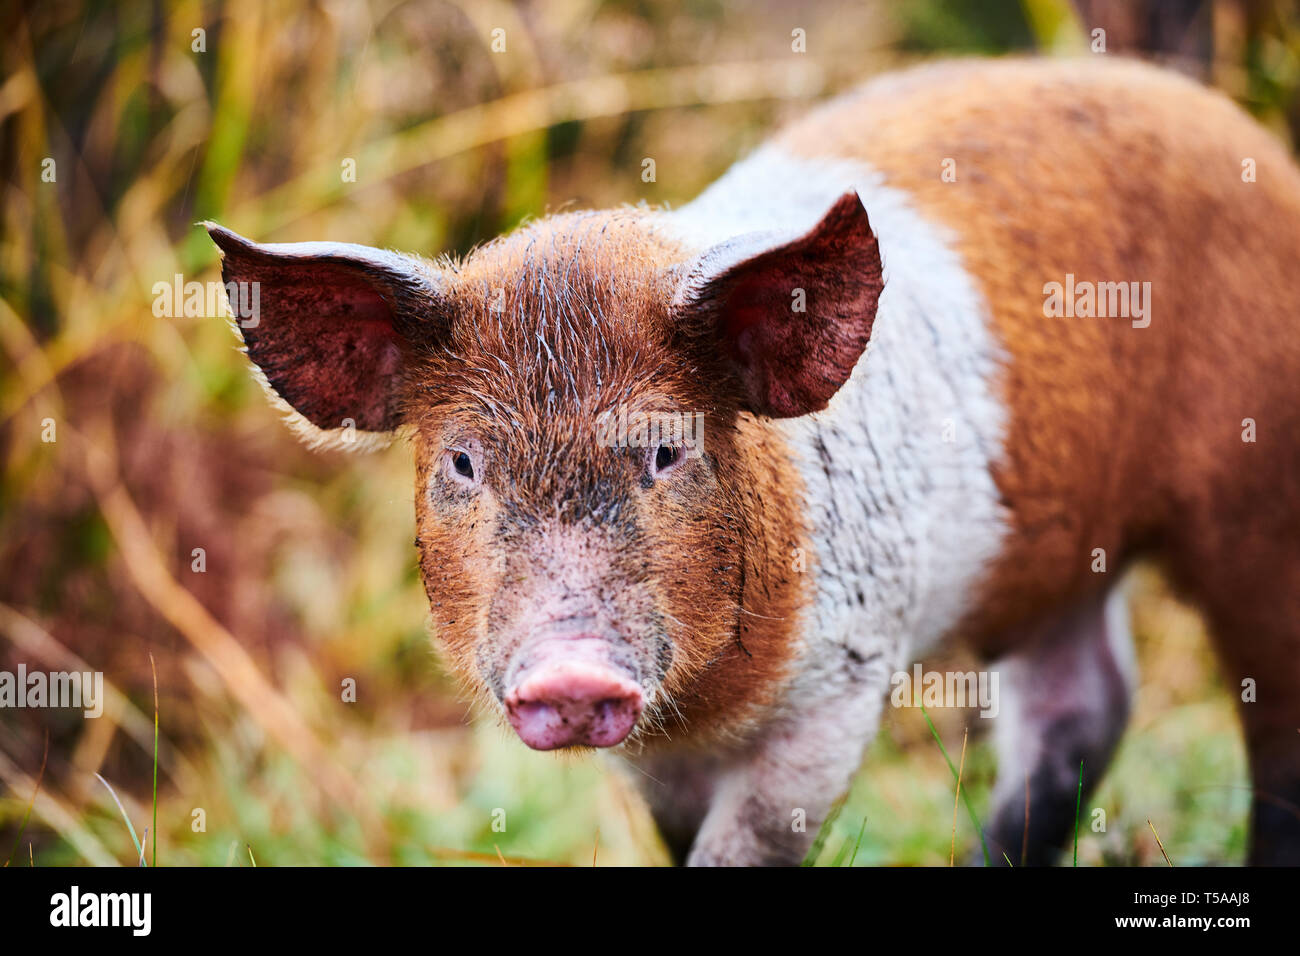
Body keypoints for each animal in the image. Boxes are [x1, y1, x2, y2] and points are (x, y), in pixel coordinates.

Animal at [208, 57, 1300, 866]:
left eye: (666, 449)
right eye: (465, 463)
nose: (570, 669)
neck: (703, 712)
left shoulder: (843, 679)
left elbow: (752, 841)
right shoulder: (655, 761)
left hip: (1258, 490)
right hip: (1053, 569)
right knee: (1084, 705)